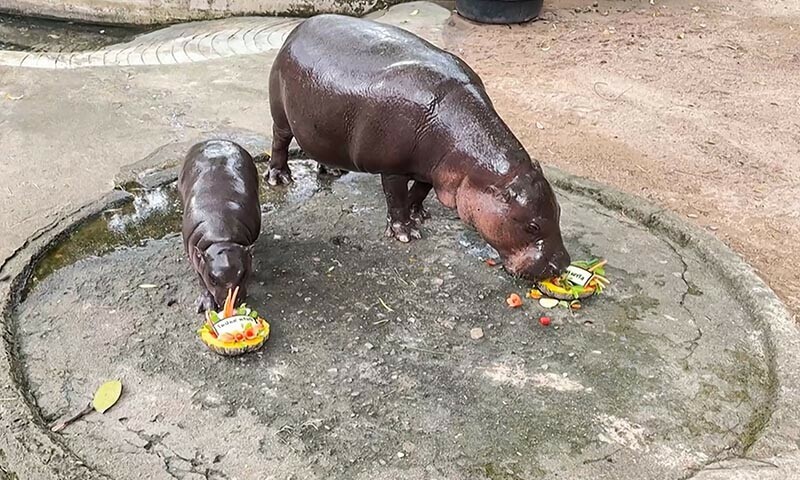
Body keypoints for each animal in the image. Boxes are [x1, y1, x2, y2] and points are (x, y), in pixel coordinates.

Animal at [179, 139, 261, 312]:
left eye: (243, 274)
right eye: (212, 279)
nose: (230, 303)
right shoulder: (197, 257)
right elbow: (201, 280)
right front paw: (206, 306)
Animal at [267, 14, 570, 280]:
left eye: (559, 211)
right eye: (532, 226)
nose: (563, 265)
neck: (476, 165)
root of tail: (298, 29)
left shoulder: (433, 169)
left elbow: (420, 191)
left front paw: (419, 214)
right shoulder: (392, 168)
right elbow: (396, 198)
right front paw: (406, 233)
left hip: (321, 125)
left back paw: (331, 171)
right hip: (281, 115)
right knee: (280, 142)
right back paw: (279, 178)